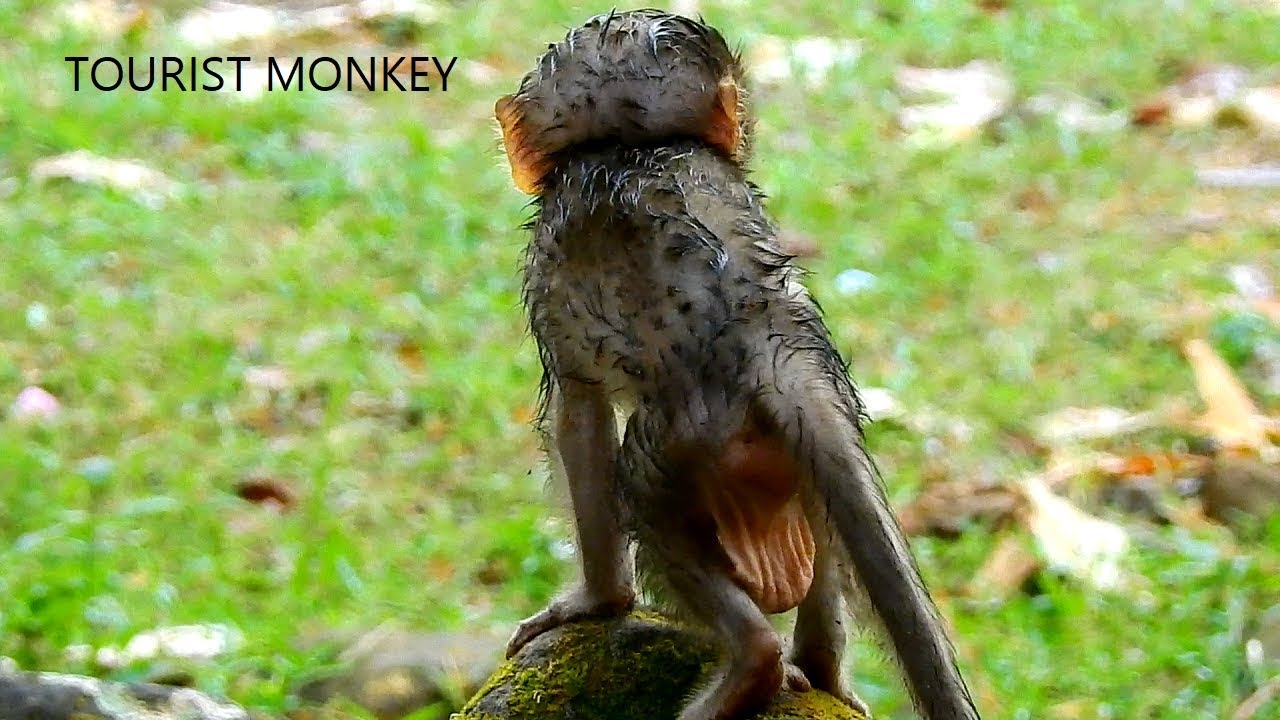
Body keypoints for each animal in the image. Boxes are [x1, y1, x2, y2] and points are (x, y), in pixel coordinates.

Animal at [495, 10, 981, 720]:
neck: (624, 145)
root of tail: (768, 342)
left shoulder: (548, 263)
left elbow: (580, 417)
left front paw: (598, 600)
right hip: (794, 436)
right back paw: (819, 668)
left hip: (678, 448)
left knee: (645, 504)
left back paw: (752, 664)